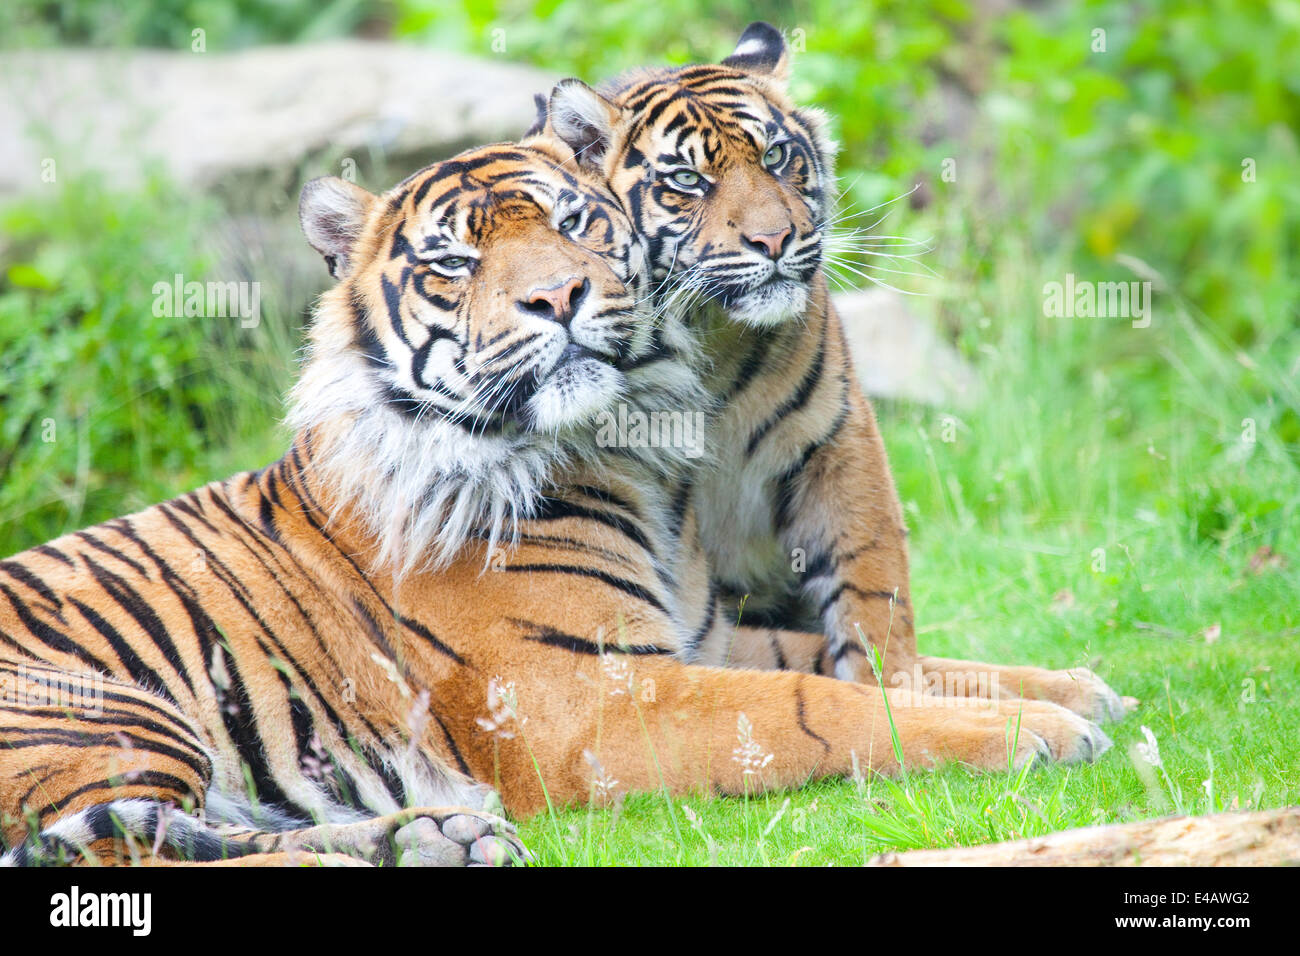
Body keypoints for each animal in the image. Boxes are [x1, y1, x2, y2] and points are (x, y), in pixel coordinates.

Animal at [0, 128, 1111, 868]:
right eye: (455, 262)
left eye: (574, 222)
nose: (558, 297)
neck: (630, 456)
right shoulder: (594, 702)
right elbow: (825, 704)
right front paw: (1034, 731)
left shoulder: (696, 640)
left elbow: (864, 663)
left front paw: (1068, 685)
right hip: (106, 714)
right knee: (136, 850)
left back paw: (436, 838)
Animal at [535, 21, 1133, 721]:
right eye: (686, 179)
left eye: (774, 158)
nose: (775, 240)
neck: (710, 336)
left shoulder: (838, 442)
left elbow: (873, 593)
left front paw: (894, 693)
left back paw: (1083, 689)